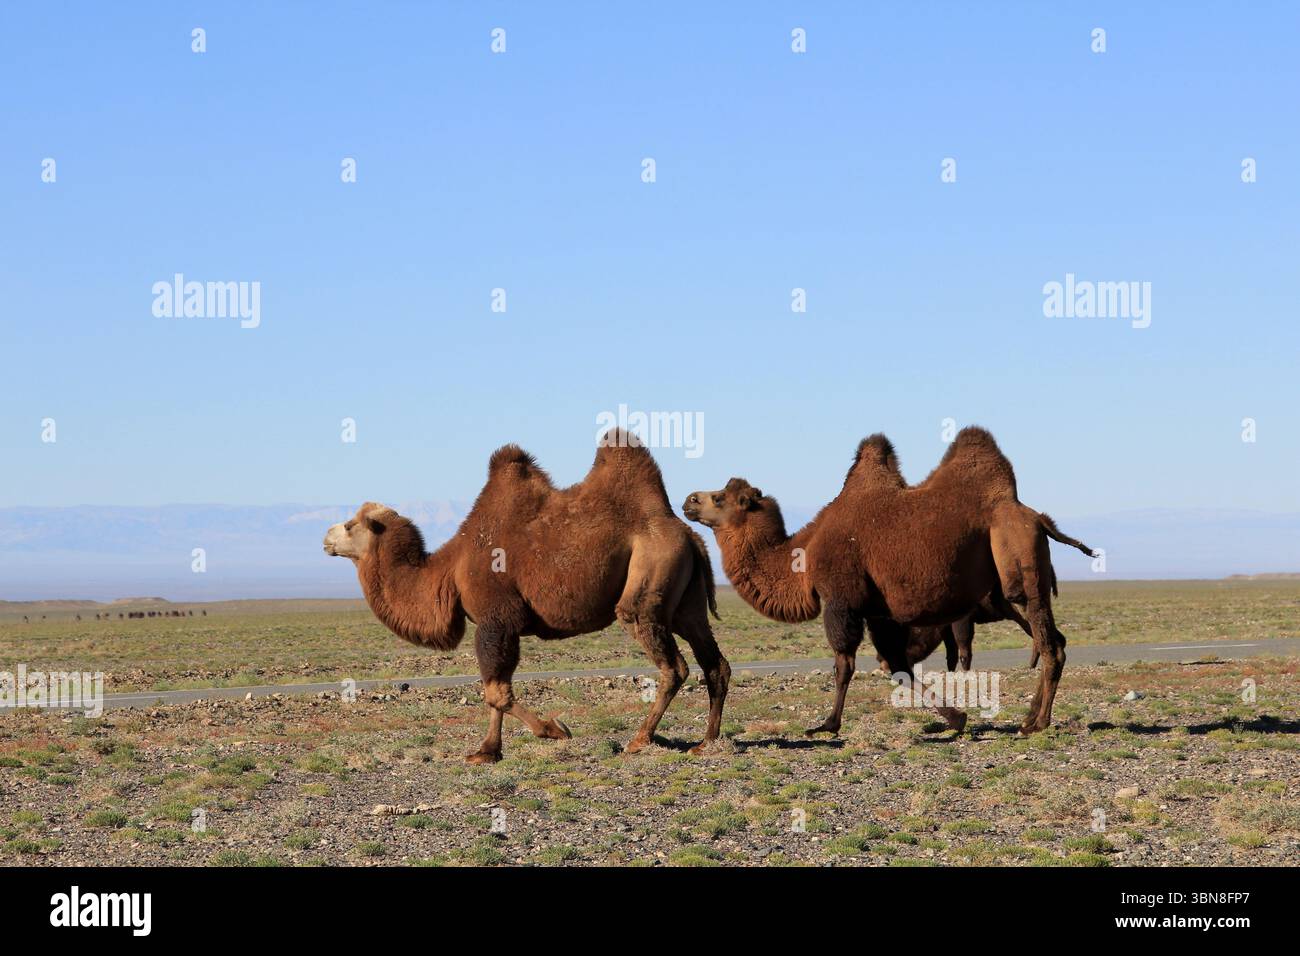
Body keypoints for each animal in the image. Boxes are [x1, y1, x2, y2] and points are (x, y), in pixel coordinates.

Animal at [324, 431, 730, 763]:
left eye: (351, 526)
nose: (326, 538)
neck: (450, 568)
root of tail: (688, 534)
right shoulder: (498, 624)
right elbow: (496, 689)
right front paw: (488, 751)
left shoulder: (496, 618)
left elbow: (497, 693)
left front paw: (552, 730)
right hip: (686, 605)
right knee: (714, 663)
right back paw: (706, 742)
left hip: (648, 582)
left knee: (671, 663)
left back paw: (640, 739)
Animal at [684, 427, 1093, 736]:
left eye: (719, 498)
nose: (689, 500)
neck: (803, 553)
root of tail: (1038, 518)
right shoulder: (879, 612)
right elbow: (895, 664)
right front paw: (956, 718)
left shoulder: (841, 600)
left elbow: (844, 664)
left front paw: (827, 725)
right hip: (1013, 585)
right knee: (1054, 639)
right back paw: (1030, 717)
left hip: (1015, 555)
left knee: (1049, 642)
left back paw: (1036, 723)